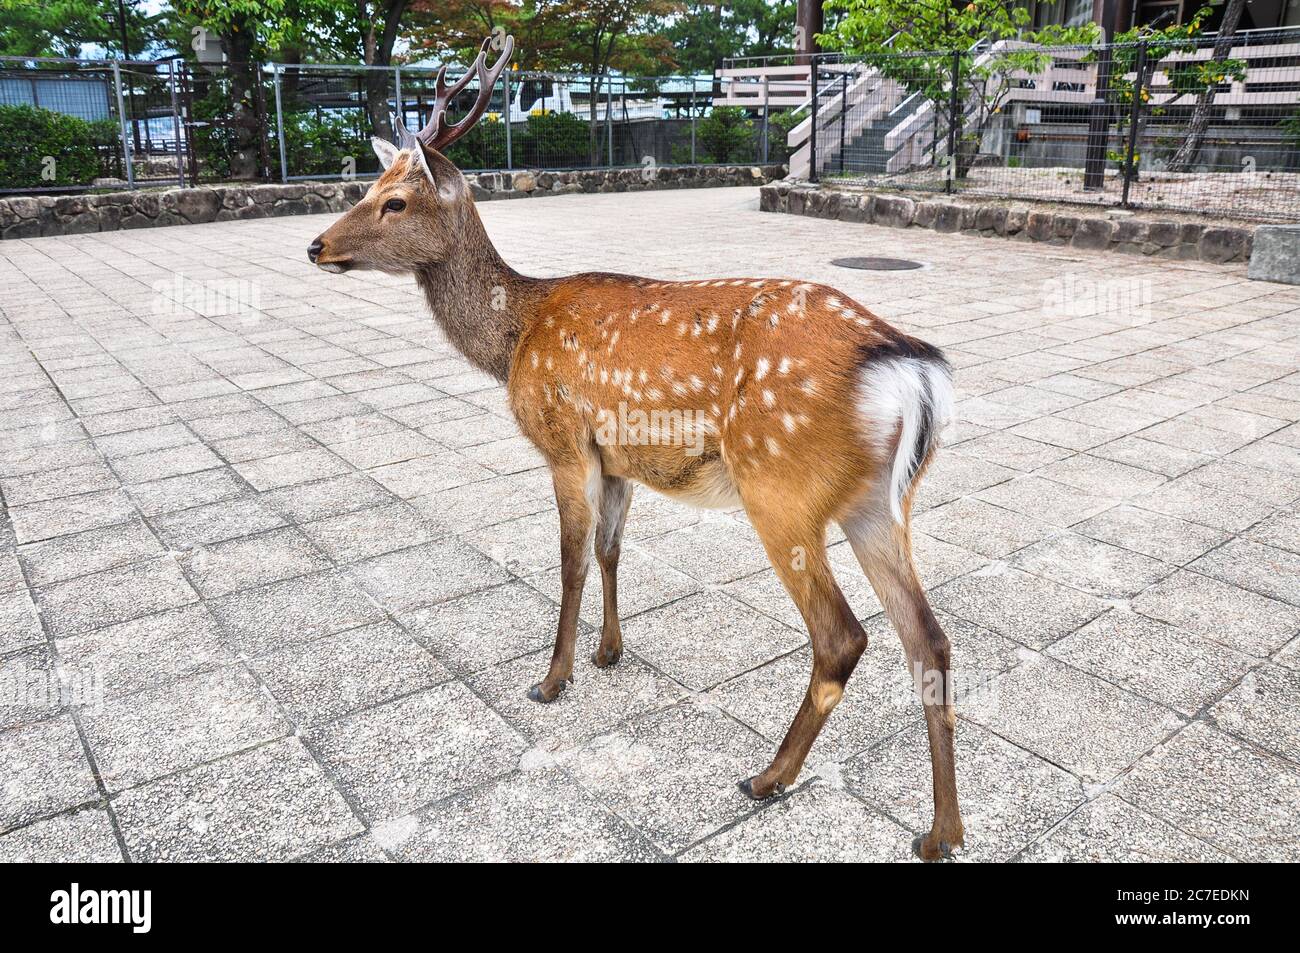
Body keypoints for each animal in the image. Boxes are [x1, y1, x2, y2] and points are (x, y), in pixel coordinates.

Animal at [306, 34, 964, 860]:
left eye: (395, 200)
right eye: (367, 183)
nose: (316, 245)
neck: (514, 336)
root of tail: (913, 370)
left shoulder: (562, 440)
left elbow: (571, 560)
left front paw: (552, 678)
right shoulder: (615, 458)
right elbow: (613, 550)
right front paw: (609, 652)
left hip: (780, 486)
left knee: (842, 636)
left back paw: (767, 775)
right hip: (878, 501)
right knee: (929, 640)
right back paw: (941, 830)